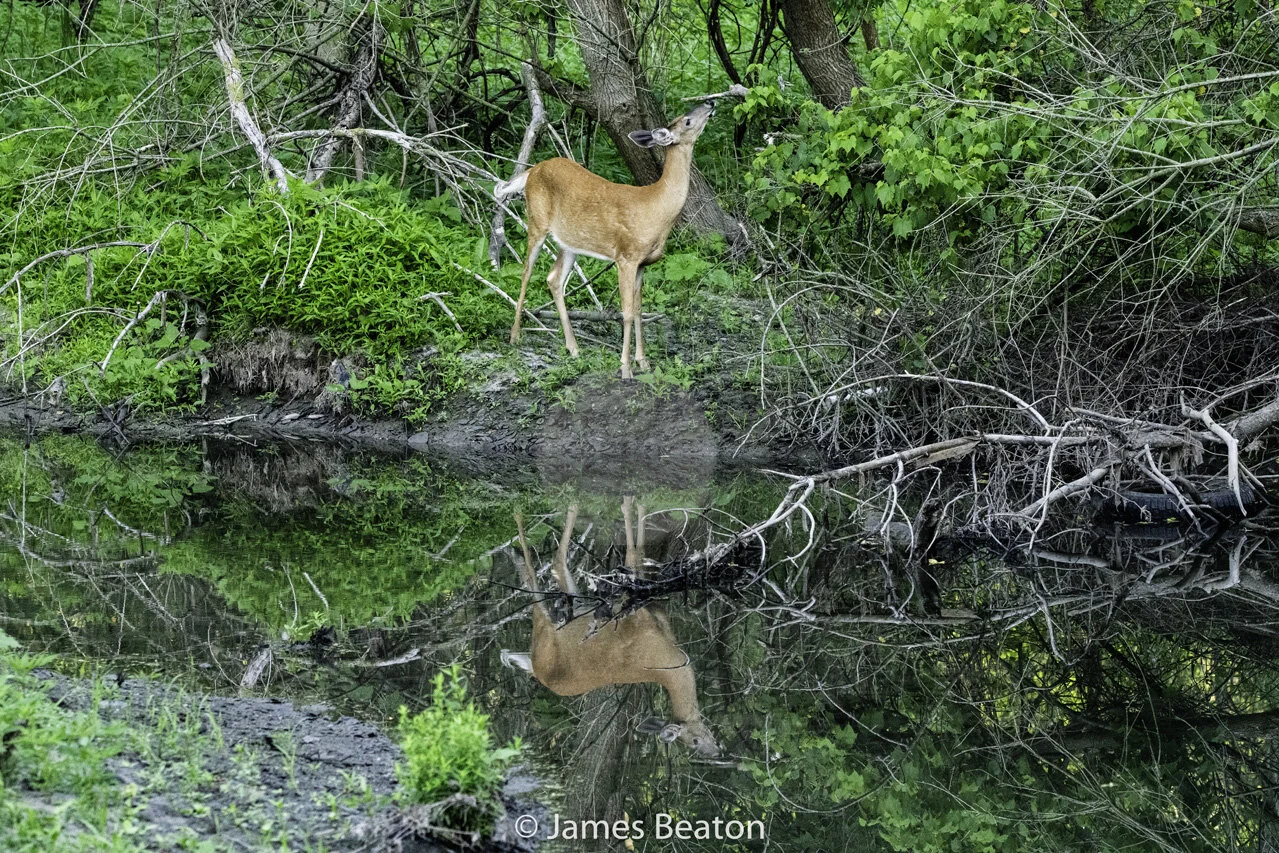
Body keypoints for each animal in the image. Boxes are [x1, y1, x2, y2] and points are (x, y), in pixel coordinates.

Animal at [497, 101, 716, 379]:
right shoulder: (626, 256)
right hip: (537, 222)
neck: (656, 207)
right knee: (526, 272)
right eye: (687, 121)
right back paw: (515, 336)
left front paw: (643, 362)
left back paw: (573, 348)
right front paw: (625, 368)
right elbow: (626, 313)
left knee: (554, 278)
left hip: (570, 241)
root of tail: (532, 170)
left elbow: (639, 311)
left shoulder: (642, 263)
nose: (710, 103)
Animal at [501, 499, 721, 758]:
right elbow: (635, 551)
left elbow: (638, 549)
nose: (715, 752)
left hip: (575, 610)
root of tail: (538, 669)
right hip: (546, 631)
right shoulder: (638, 618)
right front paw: (631, 503)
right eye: (694, 741)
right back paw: (522, 517)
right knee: (550, 566)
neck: (669, 661)